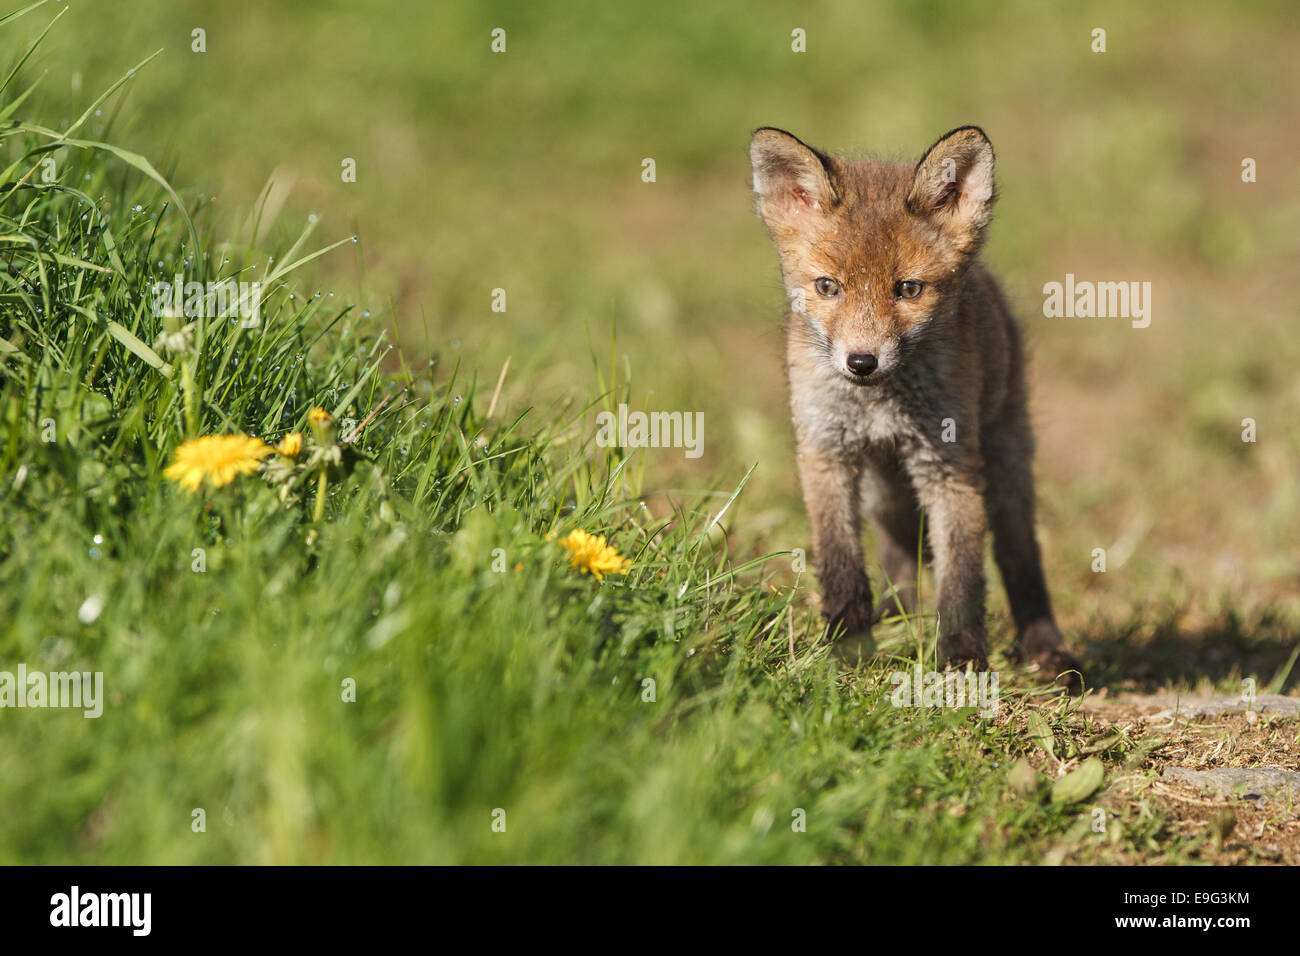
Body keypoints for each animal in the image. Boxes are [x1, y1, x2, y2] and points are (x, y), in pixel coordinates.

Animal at [749, 125, 1082, 691]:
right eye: (827, 287)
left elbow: (962, 579)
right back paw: (893, 618)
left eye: (907, 289)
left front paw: (962, 662)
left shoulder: (951, 469)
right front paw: (847, 647)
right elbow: (841, 563)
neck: (879, 406)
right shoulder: (825, 453)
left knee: (1019, 557)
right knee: (899, 551)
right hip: (883, 490)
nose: (862, 361)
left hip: (1006, 467)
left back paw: (1045, 647)